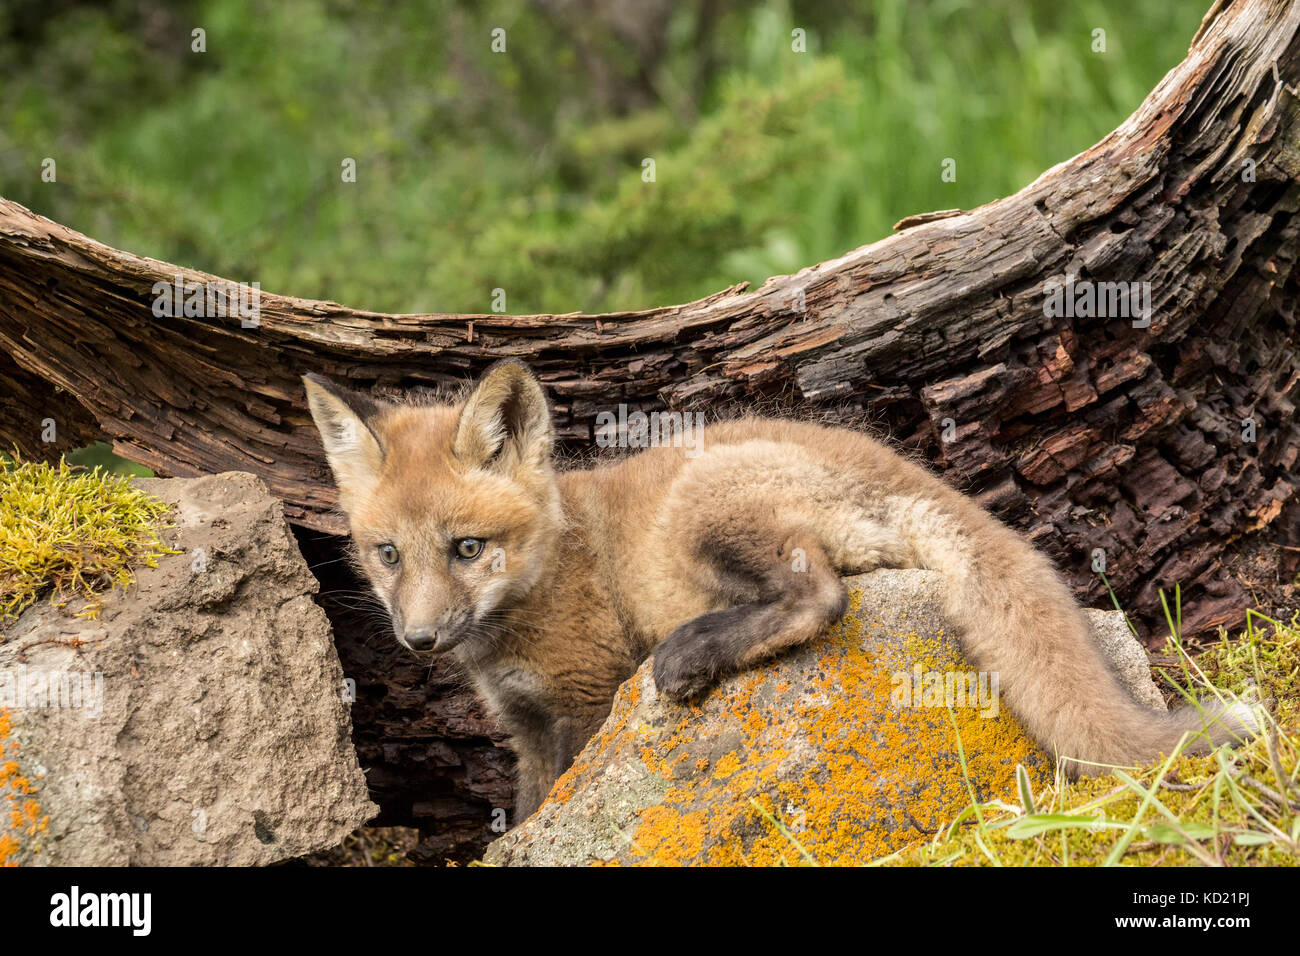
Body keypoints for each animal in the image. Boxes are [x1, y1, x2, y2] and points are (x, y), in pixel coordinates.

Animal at [303, 360, 1261, 821]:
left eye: (468, 548)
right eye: (386, 555)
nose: (420, 640)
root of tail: (894, 462)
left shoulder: (583, 696)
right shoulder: (526, 731)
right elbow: (532, 809)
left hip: (704, 512)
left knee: (821, 598)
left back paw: (692, 656)